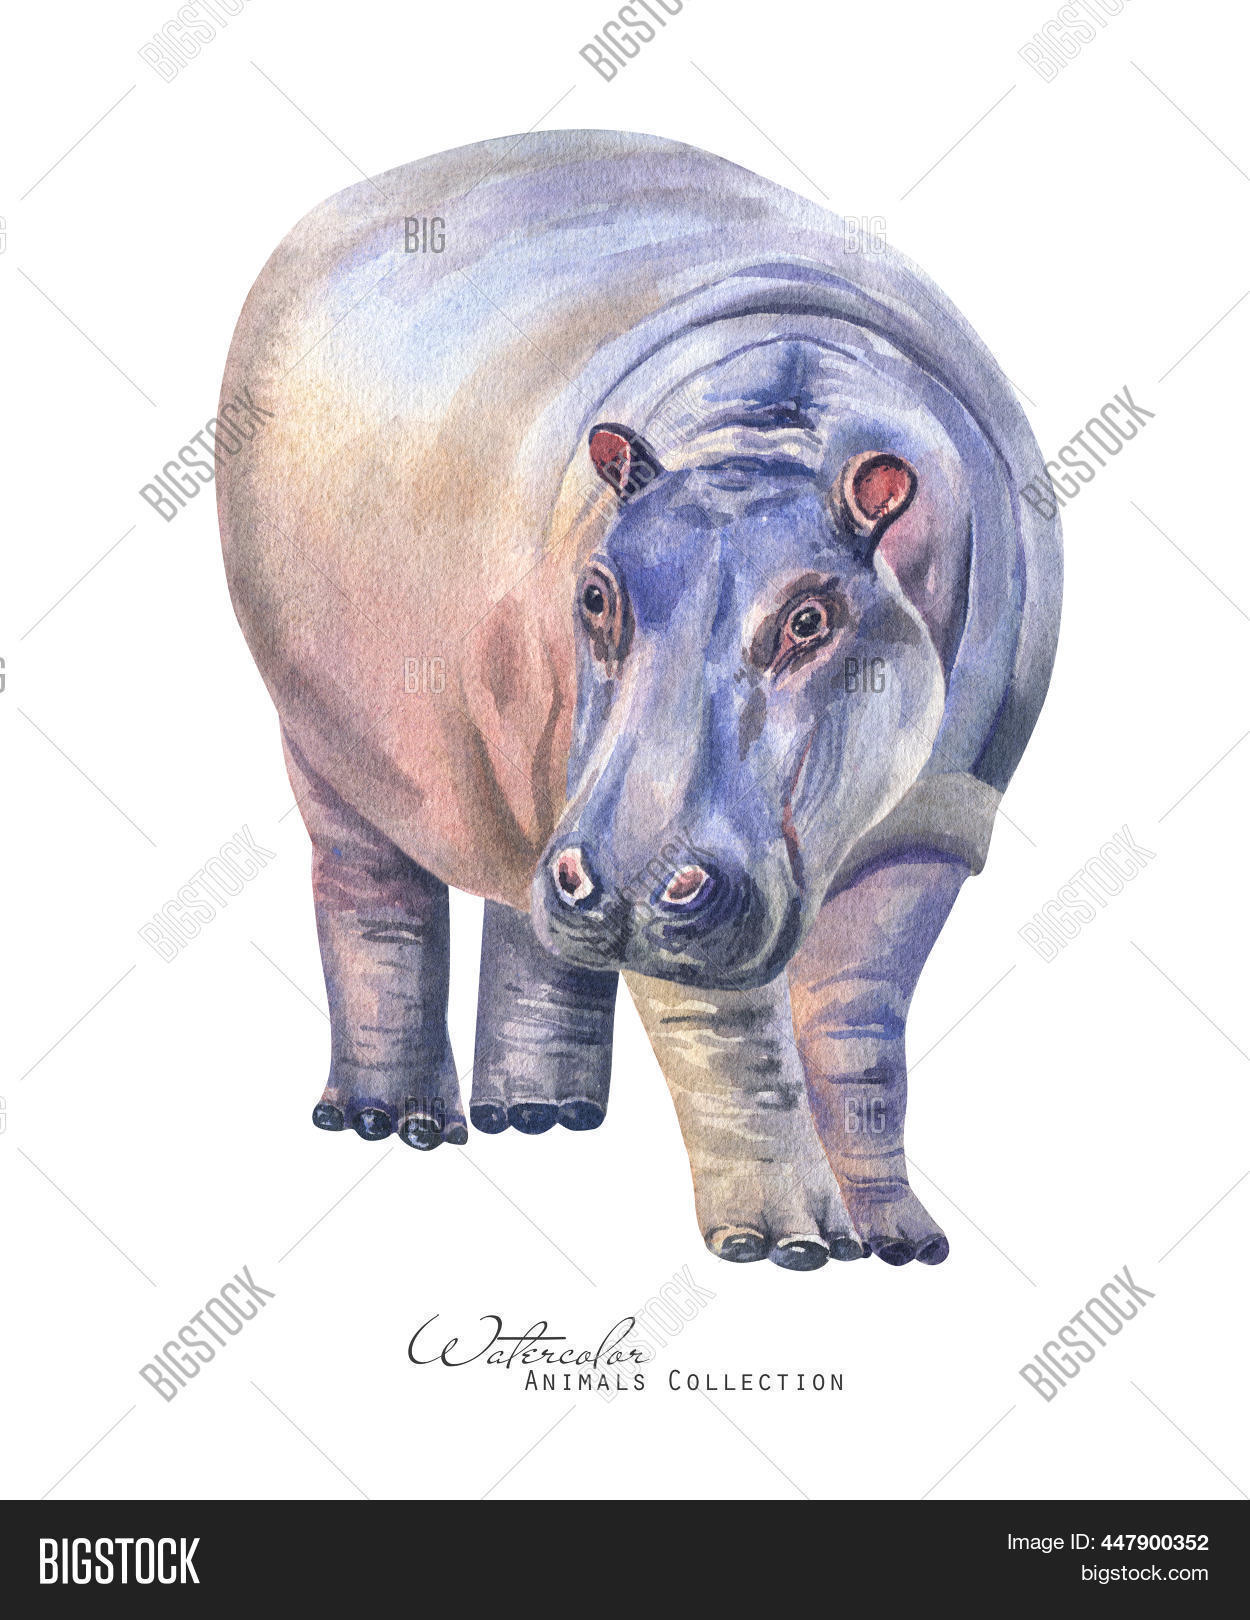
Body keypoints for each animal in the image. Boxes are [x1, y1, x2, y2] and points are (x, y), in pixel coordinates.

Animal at [219, 130, 1061, 1270]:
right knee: (372, 898)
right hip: (337, 747)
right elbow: (736, 1045)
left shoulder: (940, 819)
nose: (620, 884)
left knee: (525, 903)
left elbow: (858, 1028)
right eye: (594, 591)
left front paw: (898, 1239)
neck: (769, 437)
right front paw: (788, 1245)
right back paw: (393, 1121)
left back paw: (542, 1117)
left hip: (539, 782)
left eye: (811, 617)